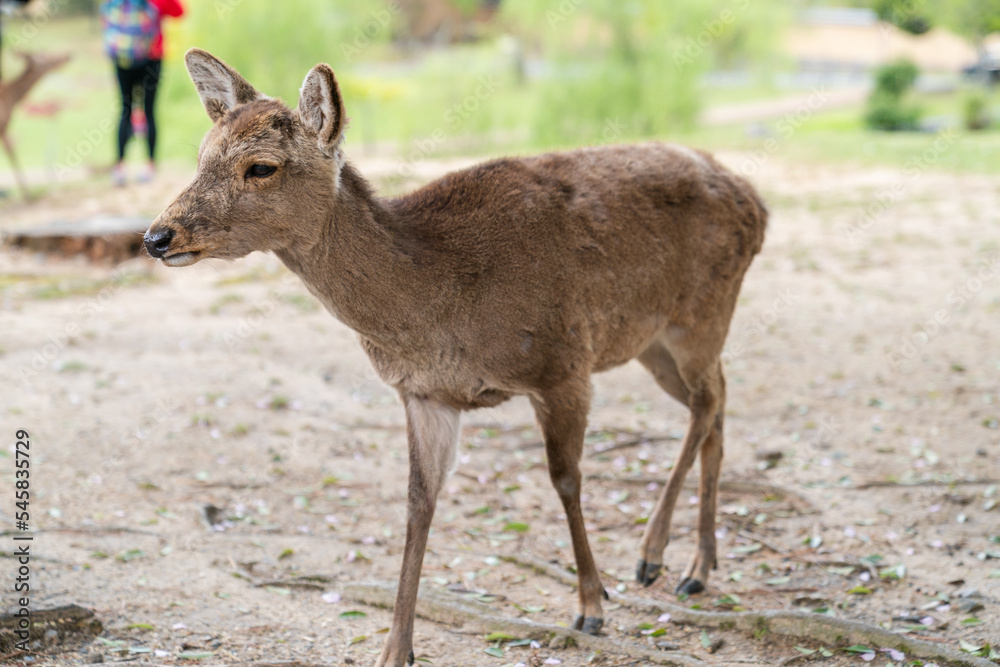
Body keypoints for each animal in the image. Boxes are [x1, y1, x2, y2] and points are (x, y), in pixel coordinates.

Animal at [0, 51, 70, 199]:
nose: (68, 55)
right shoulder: (3, 126)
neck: (11, 99)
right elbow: (11, 153)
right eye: (47, 56)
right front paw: (27, 194)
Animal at [143, 49, 768, 667]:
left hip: (700, 312)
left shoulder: (562, 363)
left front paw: (592, 605)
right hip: (654, 342)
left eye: (262, 167)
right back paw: (699, 565)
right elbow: (419, 501)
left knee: (707, 401)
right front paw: (394, 649)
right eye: (200, 155)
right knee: (718, 397)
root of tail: (757, 203)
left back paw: (654, 556)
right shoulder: (424, 393)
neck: (441, 297)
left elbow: (565, 478)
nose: (156, 237)